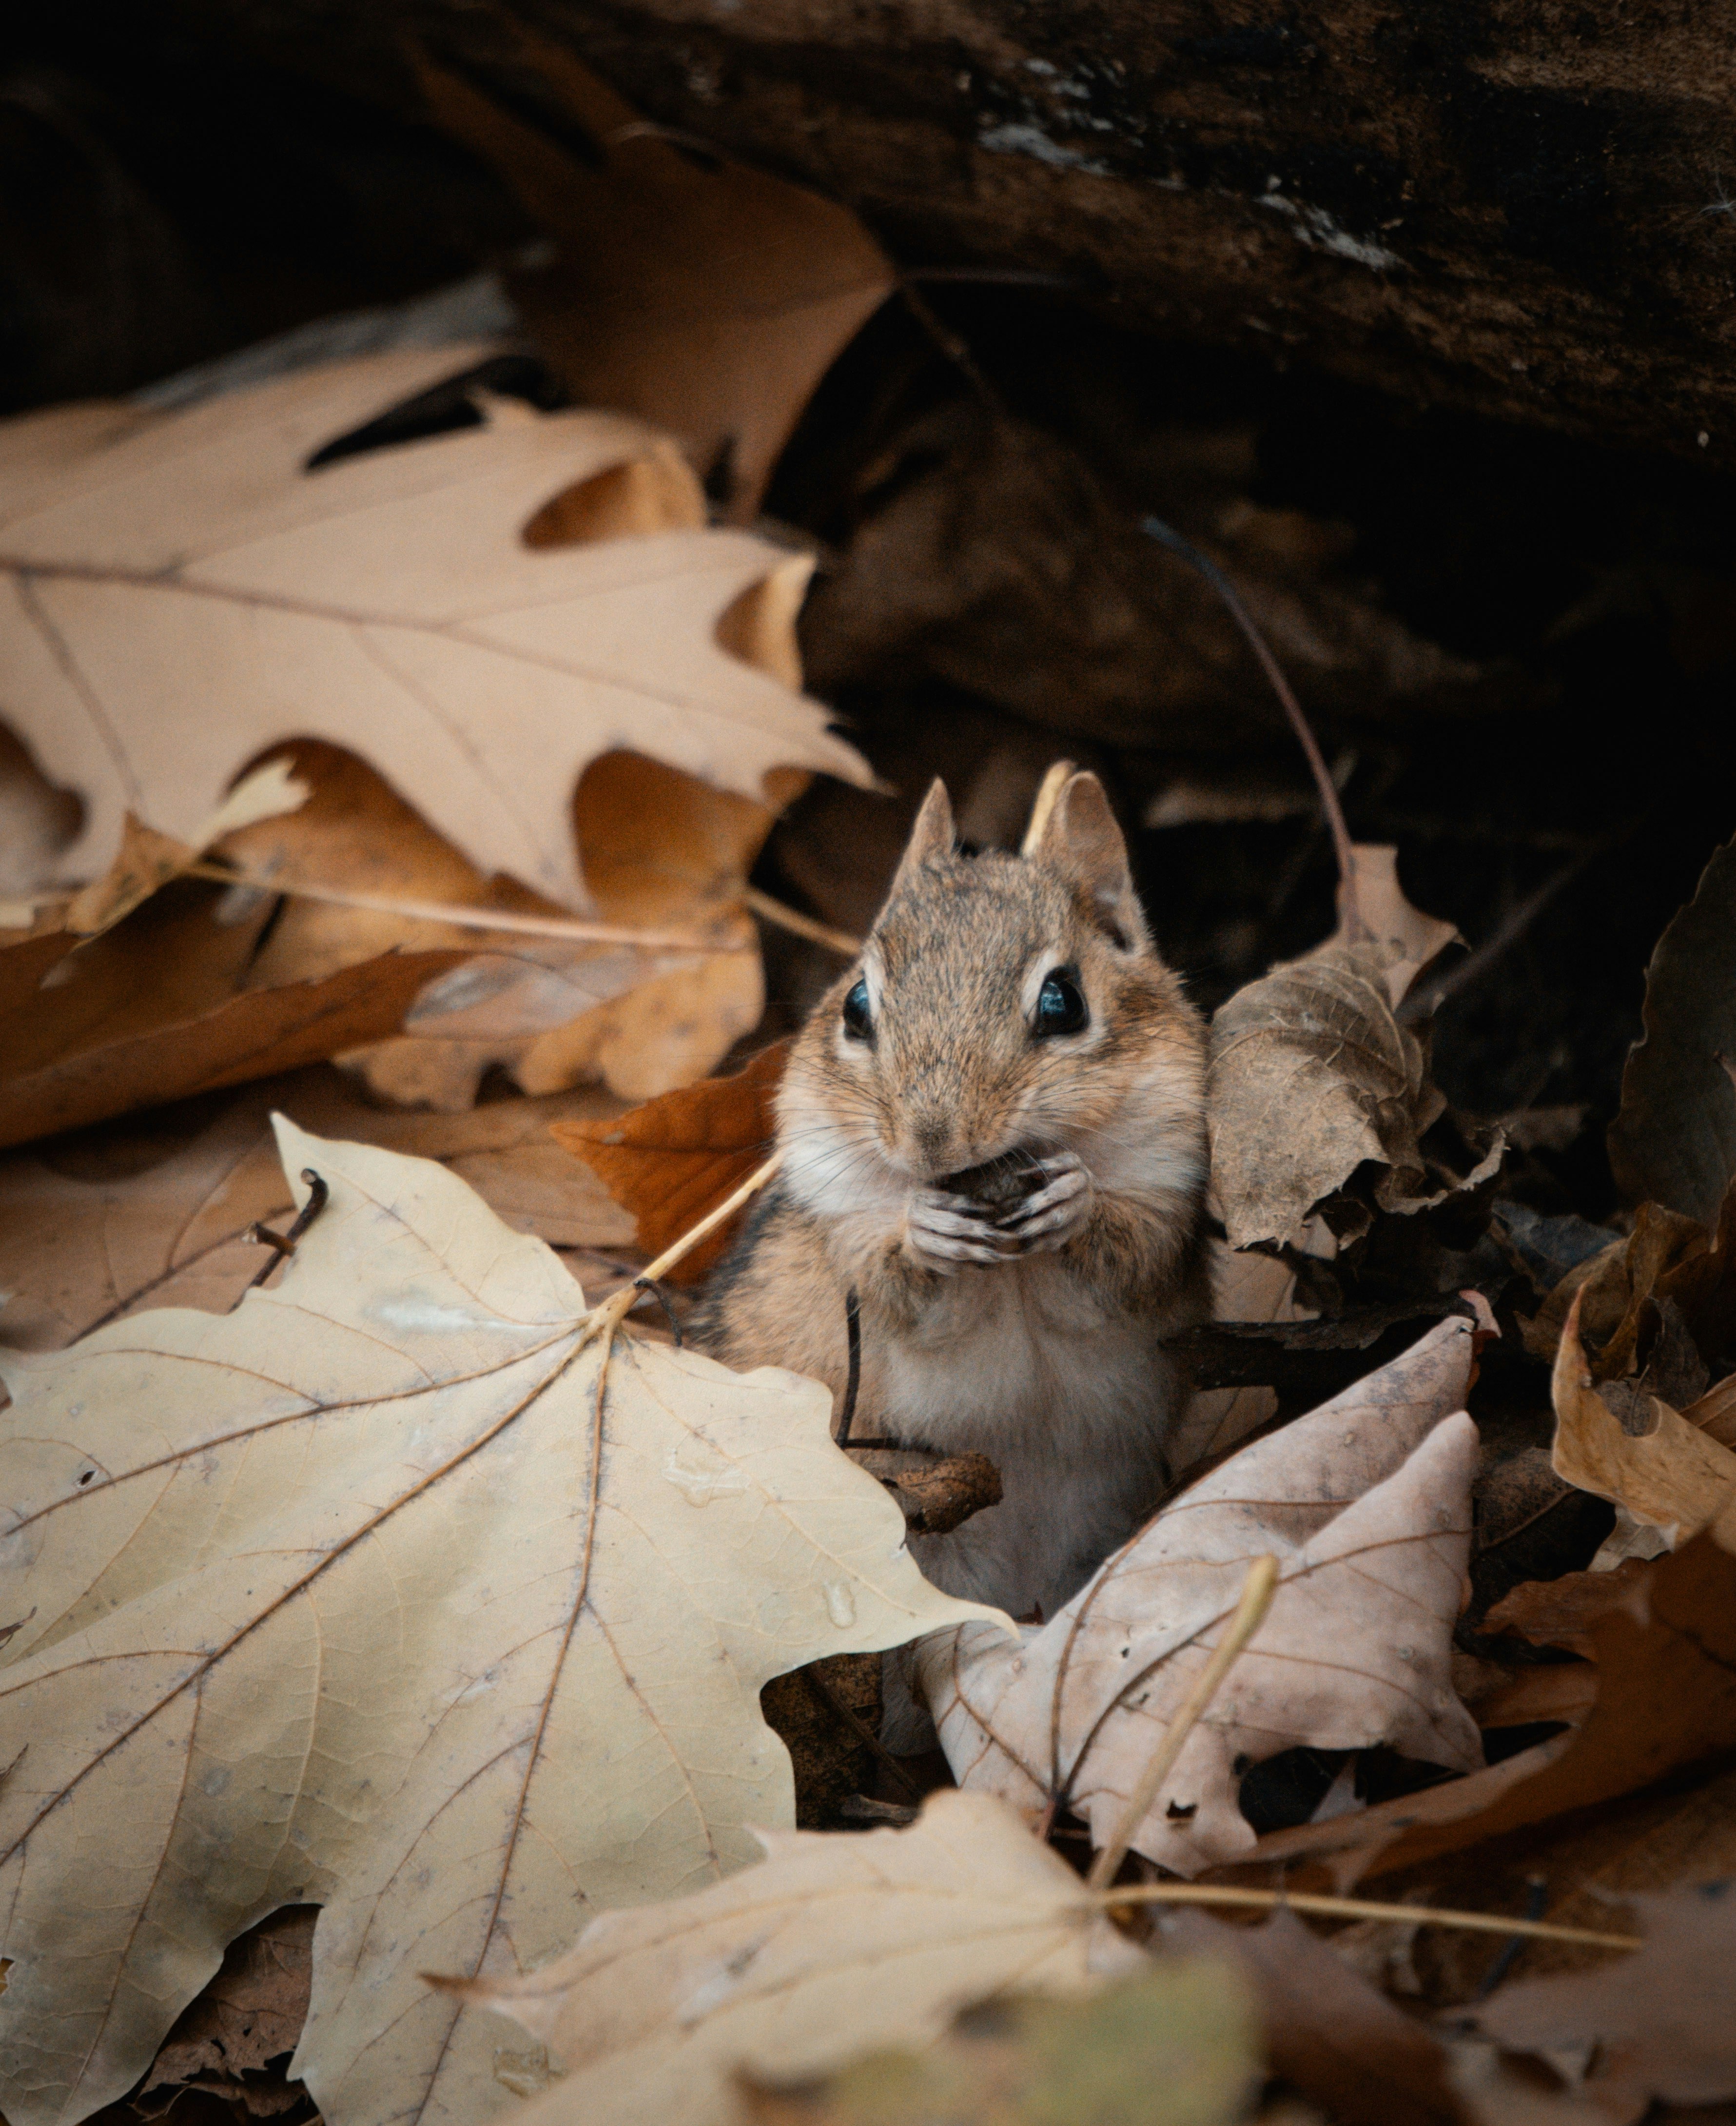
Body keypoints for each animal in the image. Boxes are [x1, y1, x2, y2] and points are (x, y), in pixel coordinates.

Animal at [691, 769, 1210, 1631]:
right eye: (855, 1007)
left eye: (1064, 1001)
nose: (933, 1142)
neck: (1014, 1267)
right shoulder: (844, 1232)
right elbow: (897, 1283)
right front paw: (925, 1231)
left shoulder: (1170, 1183)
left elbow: (1130, 1258)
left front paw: (1075, 1200)